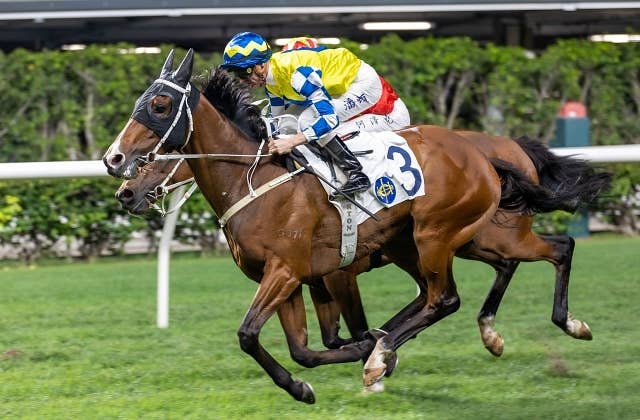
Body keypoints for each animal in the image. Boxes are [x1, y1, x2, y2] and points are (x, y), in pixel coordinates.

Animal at [103, 49, 609, 403]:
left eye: (160, 105)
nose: (116, 164)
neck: (257, 178)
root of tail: (486, 154)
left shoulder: (297, 271)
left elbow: (251, 334)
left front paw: (370, 357)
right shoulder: (295, 278)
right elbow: (303, 348)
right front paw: (313, 380)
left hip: (442, 235)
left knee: (456, 293)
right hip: (434, 242)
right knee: (473, 279)